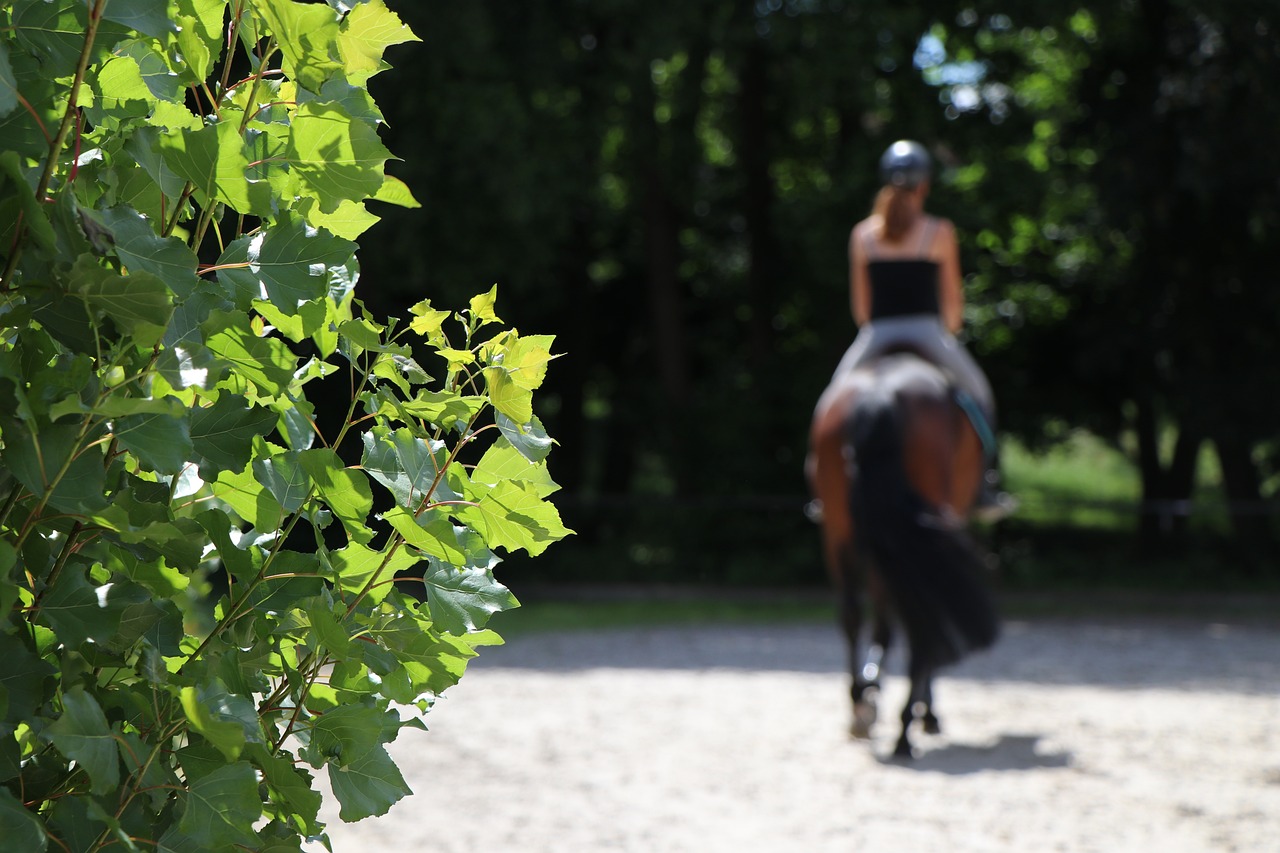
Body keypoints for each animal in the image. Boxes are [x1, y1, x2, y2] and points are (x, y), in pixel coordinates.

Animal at [806, 350, 999, 758]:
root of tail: (879, 393)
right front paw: (924, 711)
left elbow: (880, 621)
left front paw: (872, 691)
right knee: (919, 622)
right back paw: (905, 730)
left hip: (839, 531)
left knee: (852, 614)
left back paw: (860, 705)